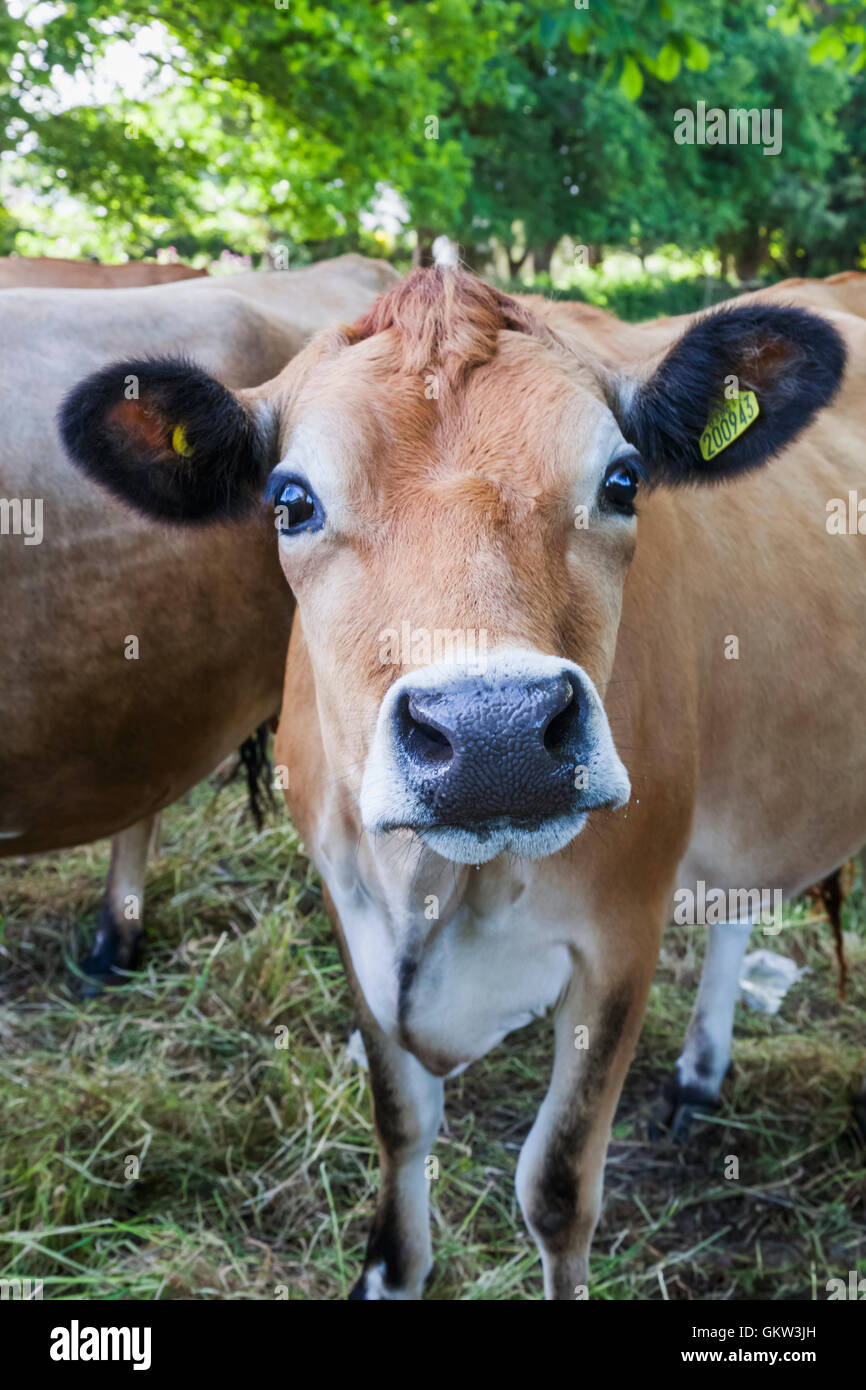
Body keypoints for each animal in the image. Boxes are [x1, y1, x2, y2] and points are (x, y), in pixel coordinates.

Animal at [58, 266, 865, 1297]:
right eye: (291, 500)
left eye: (622, 481)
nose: (496, 734)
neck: (443, 886)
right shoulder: (351, 912)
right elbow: (400, 1123)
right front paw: (386, 1272)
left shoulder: (622, 935)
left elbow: (557, 1188)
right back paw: (700, 1073)